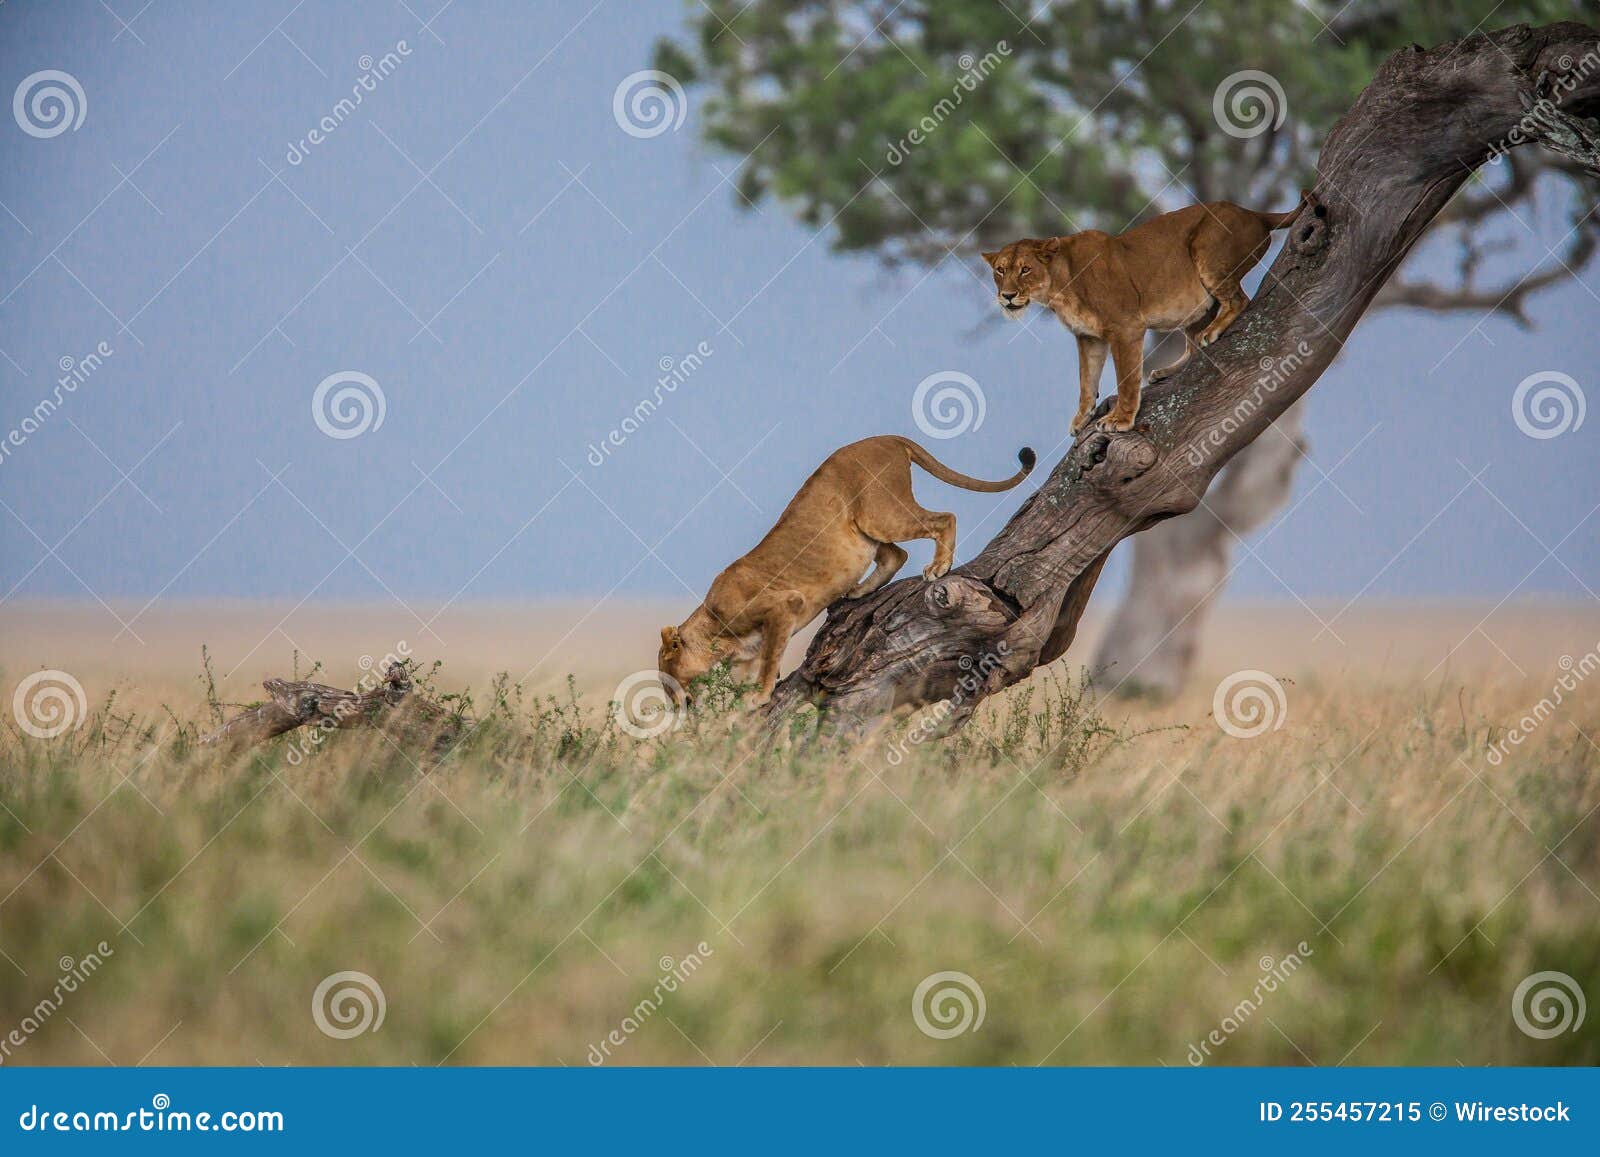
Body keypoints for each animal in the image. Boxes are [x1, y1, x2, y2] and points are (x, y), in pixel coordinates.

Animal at [659, 435, 1036, 705]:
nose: (680, 708)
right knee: (895, 555)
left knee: (944, 519)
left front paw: (759, 697)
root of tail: (888, 437)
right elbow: (757, 666)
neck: (713, 629)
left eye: (669, 681)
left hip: (881, 513)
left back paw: (939, 567)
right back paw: (858, 591)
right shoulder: (748, 654)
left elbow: (769, 662)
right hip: (866, 530)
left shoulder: (783, 606)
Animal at [983, 197, 1306, 434]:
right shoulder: (1088, 338)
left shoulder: (1125, 329)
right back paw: (1167, 370)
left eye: (1025, 269)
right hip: (1194, 302)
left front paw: (1120, 421)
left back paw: (1211, 332)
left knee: (1239, 300)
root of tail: (1252, 212)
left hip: (1207, 251)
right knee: (1193, 343)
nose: (1007, 295)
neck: (1058, 288)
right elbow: (1086, 381)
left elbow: (1126, 379)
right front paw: (1081, 418)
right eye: (1000, 270)